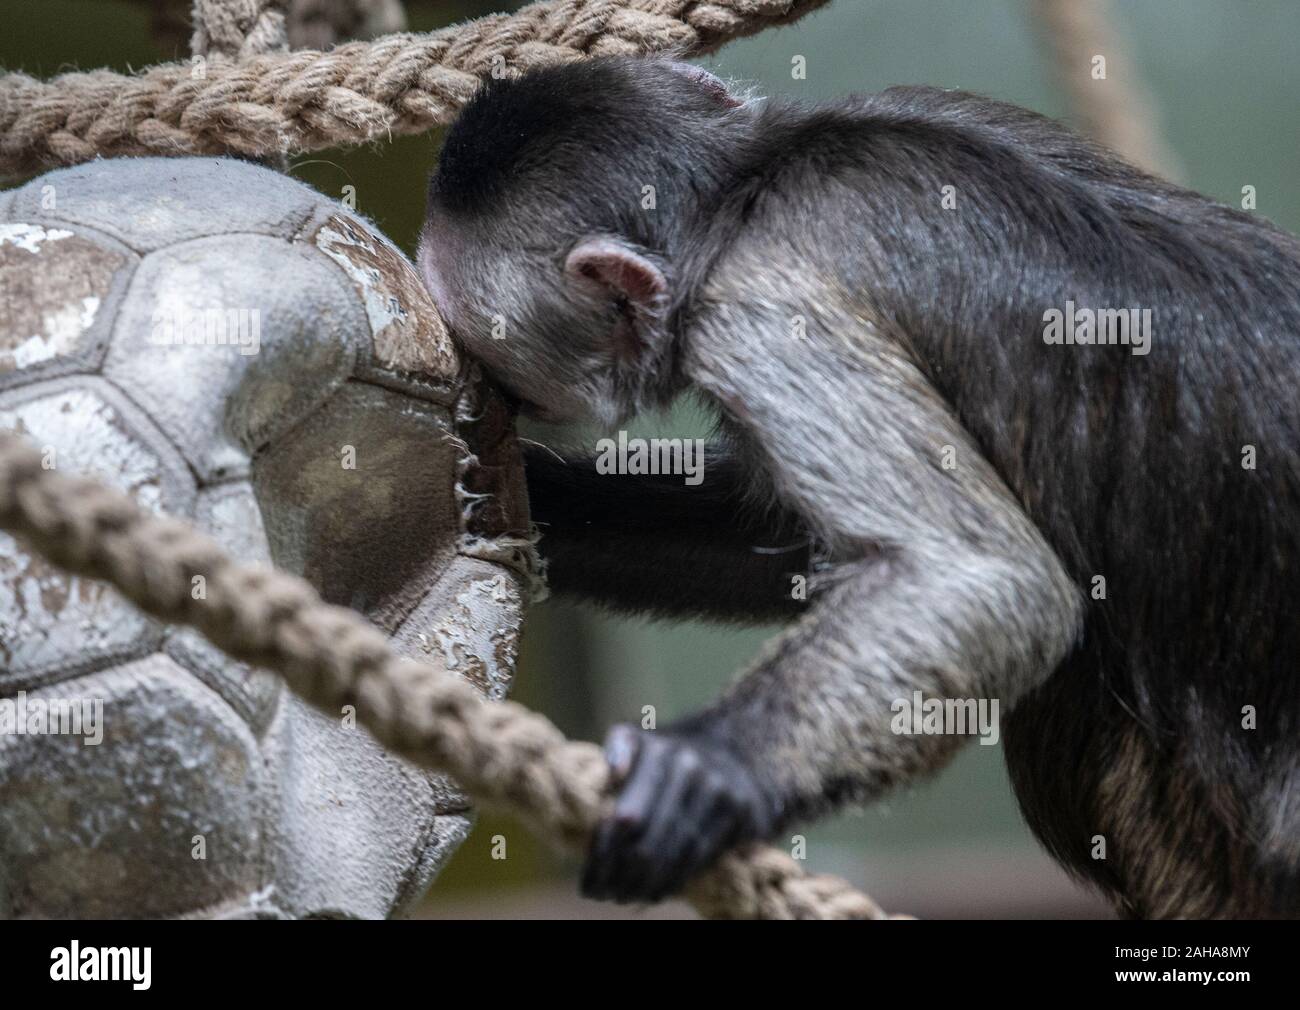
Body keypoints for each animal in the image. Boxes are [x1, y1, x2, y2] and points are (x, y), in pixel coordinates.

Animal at [417, 57, 1300, 917]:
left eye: (511, 388)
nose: (501, 411)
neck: (748, 185)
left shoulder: (760, 303)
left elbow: (979, 578)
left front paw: (706, 773)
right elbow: (785, 547)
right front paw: (524, 500)